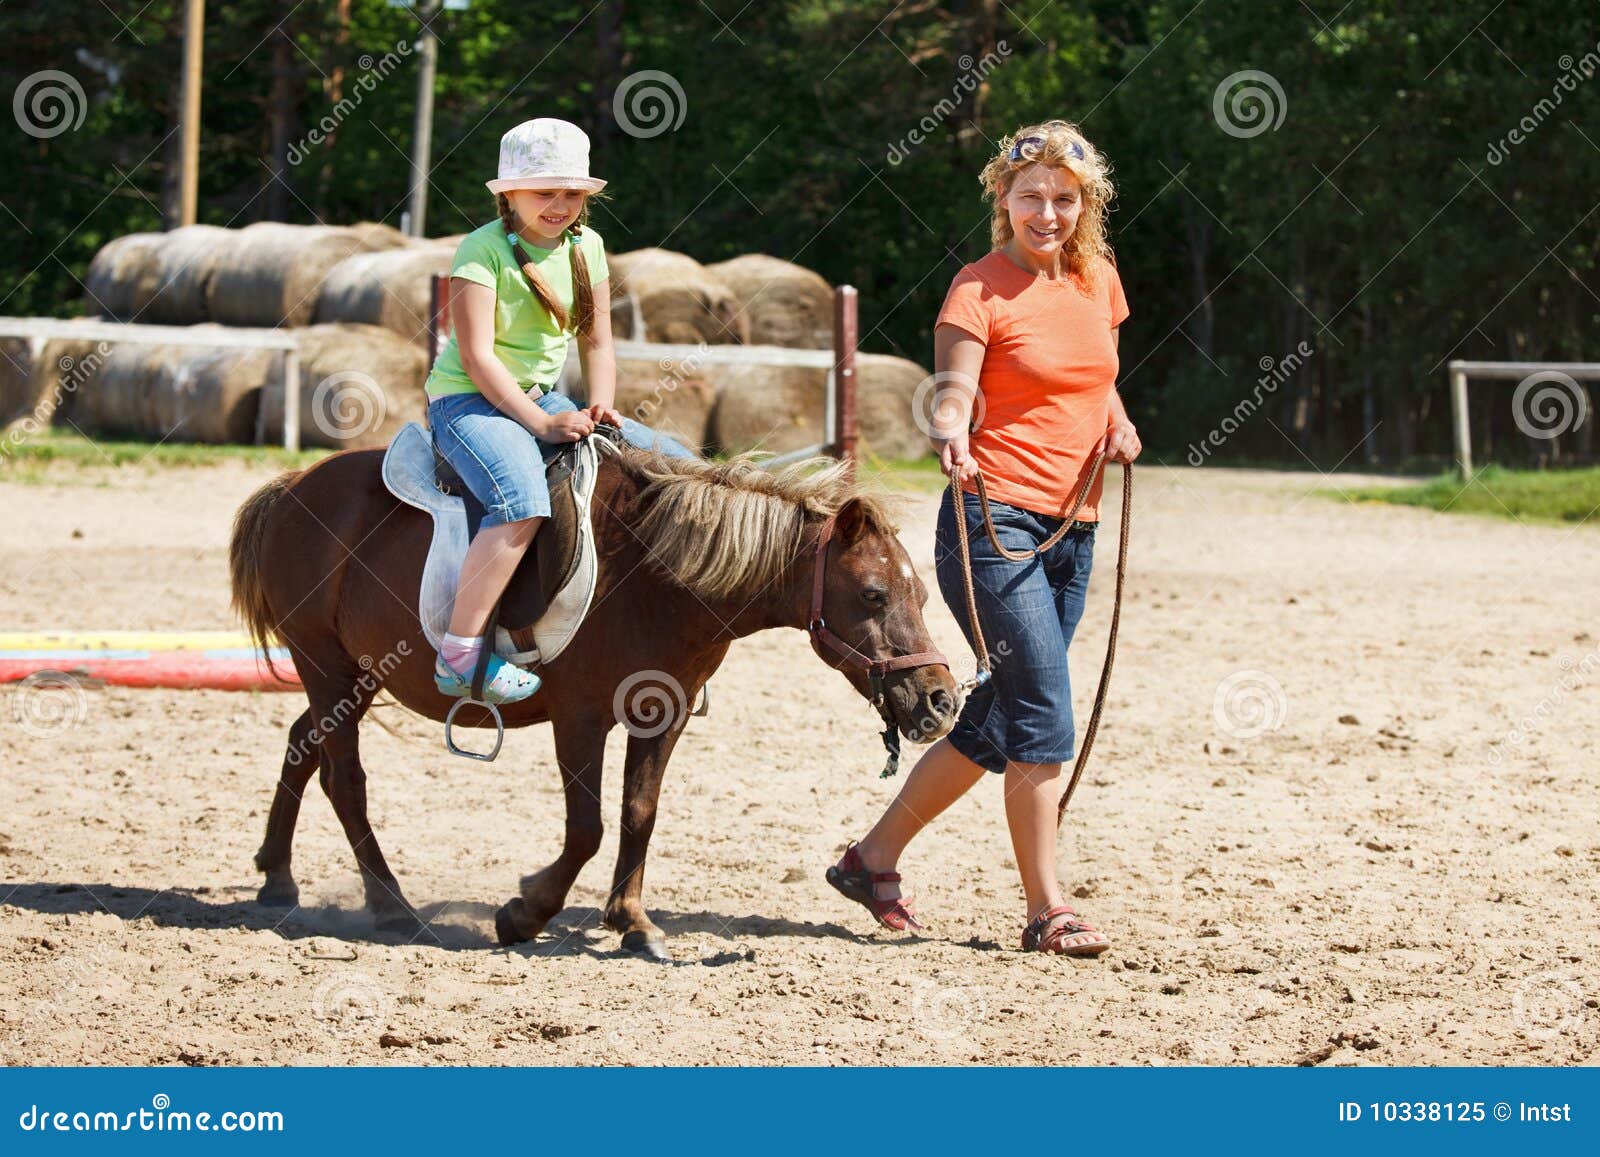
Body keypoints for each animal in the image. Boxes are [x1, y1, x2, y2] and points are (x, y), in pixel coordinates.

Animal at [227, 440, 959, 958]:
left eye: (922, 593)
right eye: (873, 594)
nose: (941, 700)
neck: (653, 577)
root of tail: (290, 488)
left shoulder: (663, 715)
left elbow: (640, 813)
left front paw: (631, 921)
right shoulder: (578, 719)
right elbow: (588, 827)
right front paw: (524, 912)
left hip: (355, 676)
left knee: (303, 747)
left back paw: (277, 877)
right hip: (326, 666)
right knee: (345, 780)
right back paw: (389, 905)